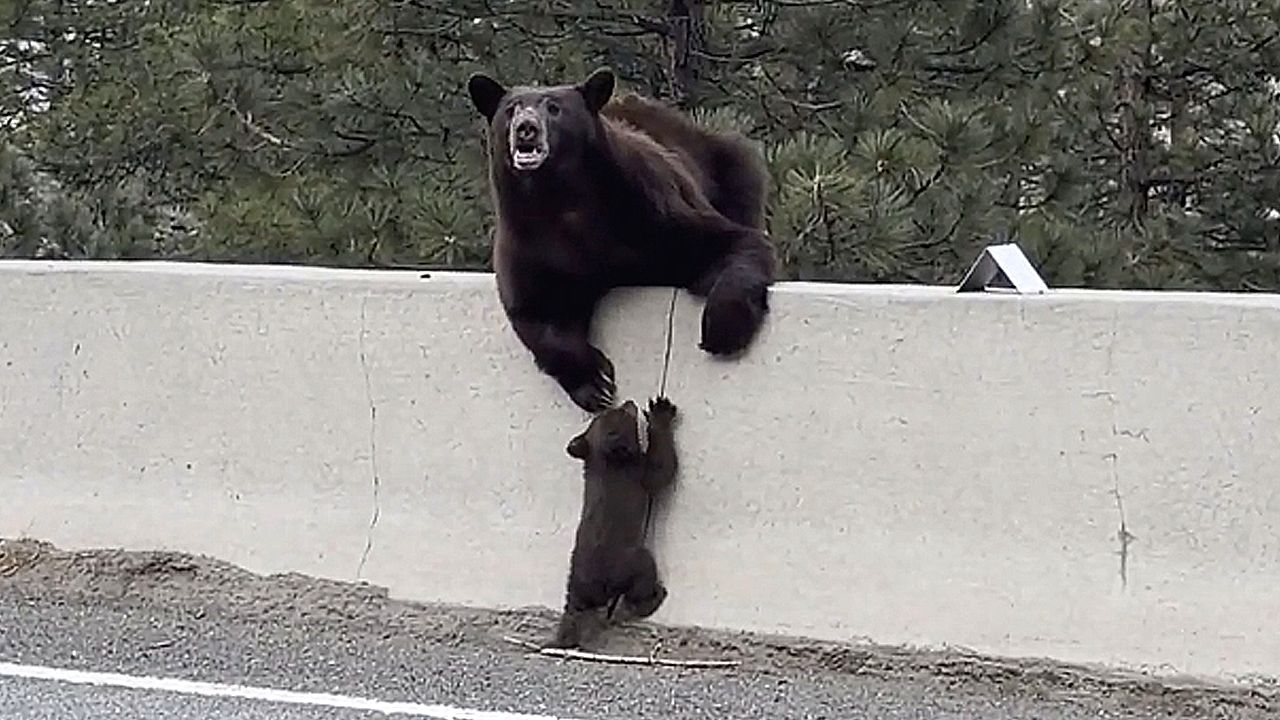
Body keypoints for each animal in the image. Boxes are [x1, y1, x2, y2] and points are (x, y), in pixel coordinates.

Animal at [466, 67, 776, 412]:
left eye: (554, 108)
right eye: (511, 109)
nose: (526, 129)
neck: (561, 199)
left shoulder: (648, 207)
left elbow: (734, 243)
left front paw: (723, 329)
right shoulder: (528, 240)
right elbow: (537, 311)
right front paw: (595, 382)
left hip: (725, 161)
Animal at [546, 395, 679, 649]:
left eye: (613, 411)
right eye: (623, 414)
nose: (628, 401)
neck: (605, 460)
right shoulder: (638, 473)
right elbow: (662, 470)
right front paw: (660, 411)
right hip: (630, 561)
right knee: (639, 586)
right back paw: (656, 596)